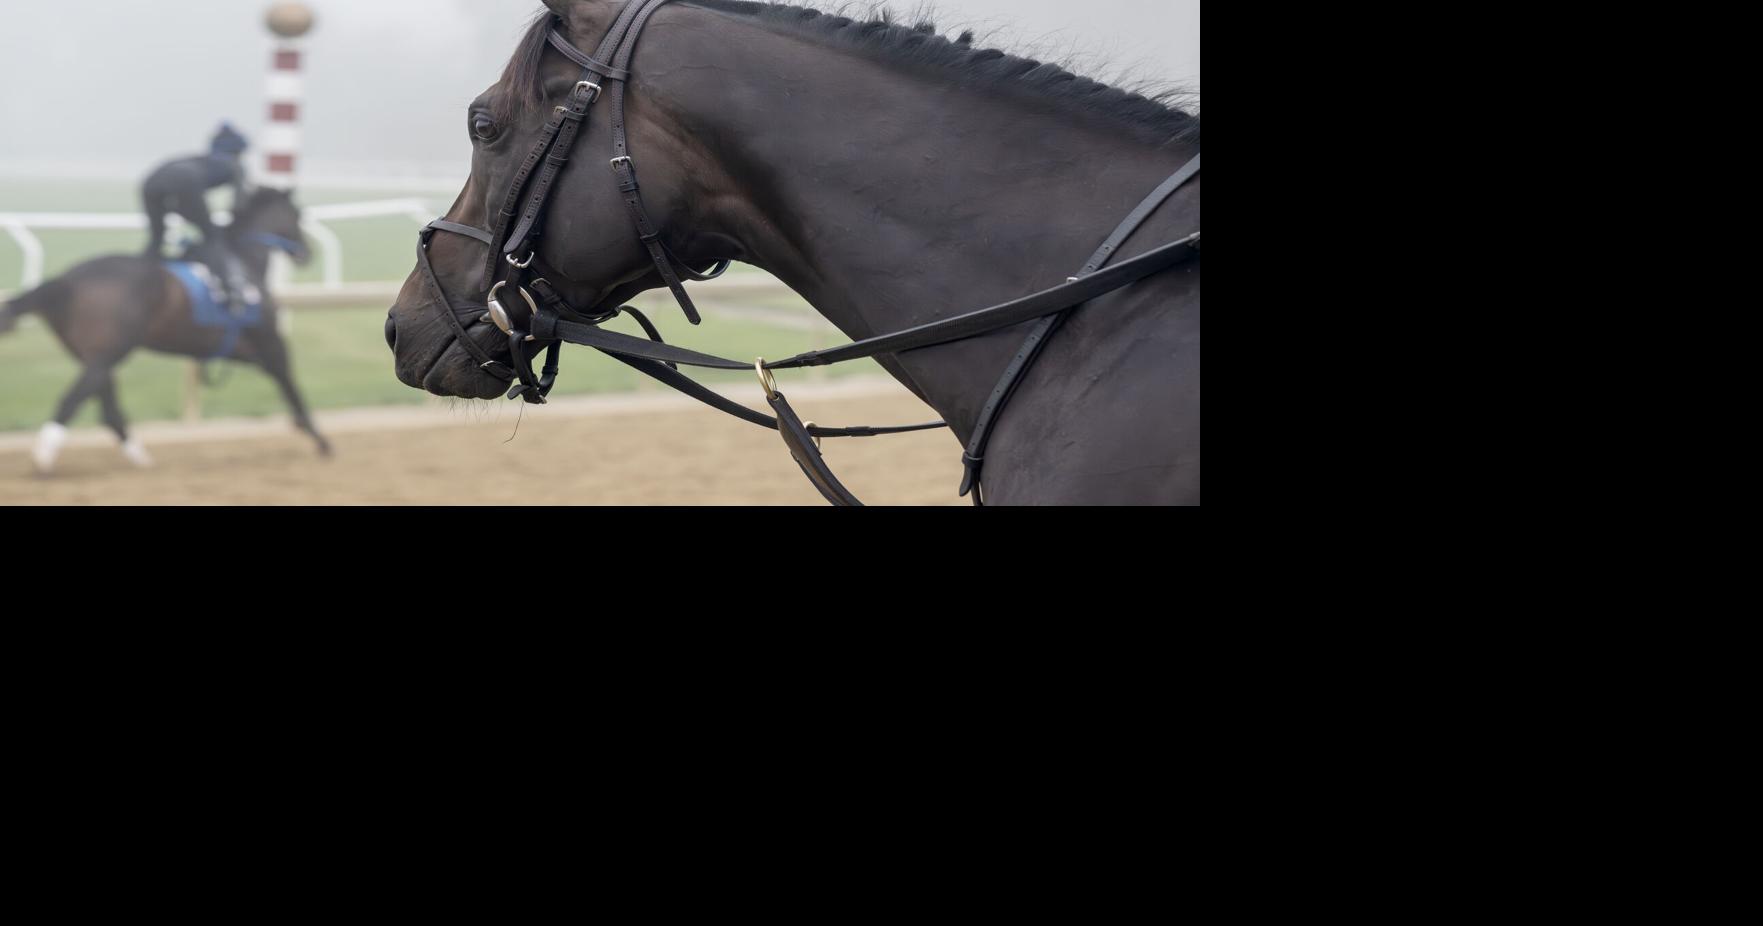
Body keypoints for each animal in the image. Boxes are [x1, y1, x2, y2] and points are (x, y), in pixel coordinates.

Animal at [0, 186, 333, 473]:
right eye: (298, 215)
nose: (306, 253)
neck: (245, 262)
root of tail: (65, 280)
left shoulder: (242, 351)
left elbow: (285, 385)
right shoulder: (271, 344)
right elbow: (292, 388)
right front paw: (321, 440)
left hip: (96, 356)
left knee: (107, 408)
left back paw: (139, 456)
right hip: (110, 352)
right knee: (72, 400)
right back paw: (43, 457)